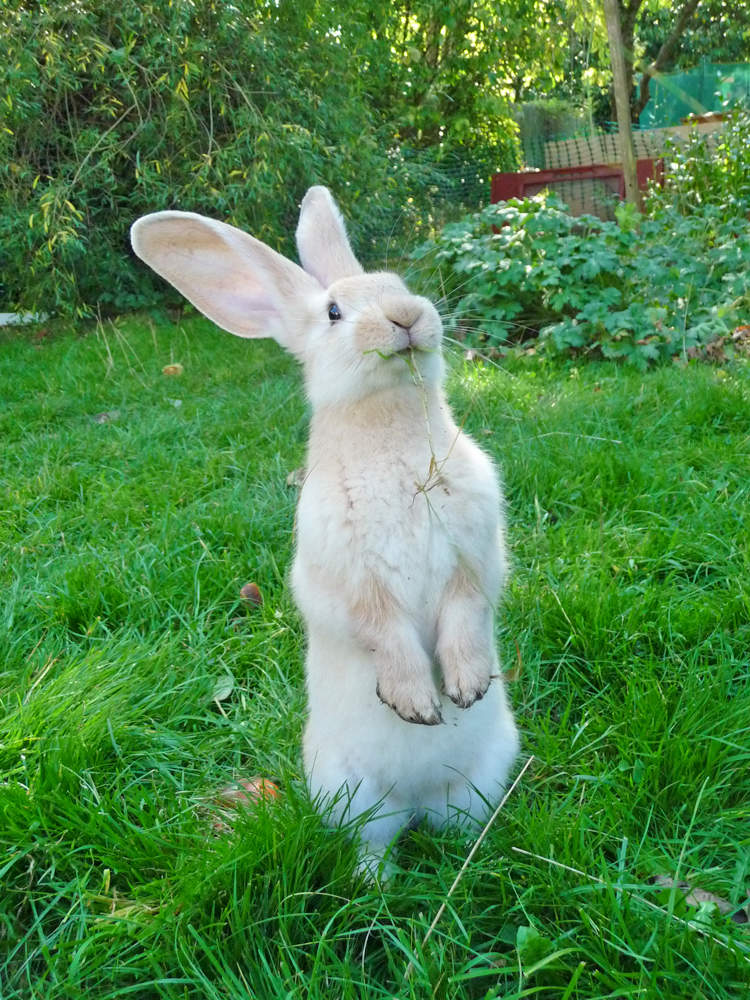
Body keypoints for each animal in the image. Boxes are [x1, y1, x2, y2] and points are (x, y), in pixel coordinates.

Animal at [130, 187, 520, 875]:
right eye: (334, 312)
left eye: (400, 285)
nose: (406, 316)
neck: (391, 431)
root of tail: (418, 800)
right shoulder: (349, 580)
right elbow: (382, 630)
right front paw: (417, 703)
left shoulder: (474, 555)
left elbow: (467, 609)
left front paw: (466, 687)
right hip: (351, 794)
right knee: (373, 844)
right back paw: (379, 881)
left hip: (481, 776)